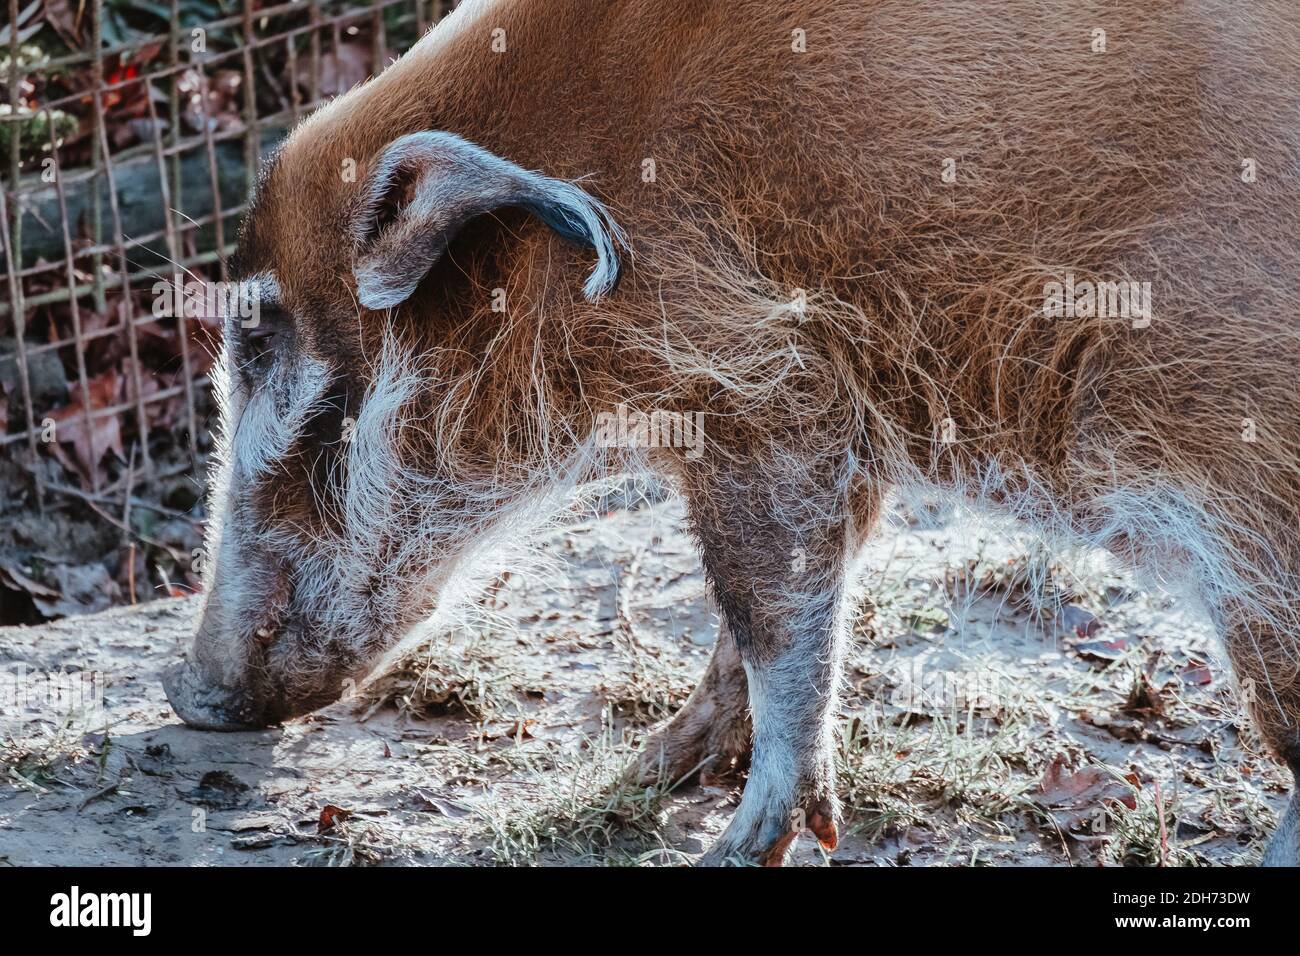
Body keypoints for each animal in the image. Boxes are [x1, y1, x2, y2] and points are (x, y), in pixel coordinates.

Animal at [165, 0, 1300, 866]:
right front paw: (646, 770)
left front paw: (737, 844)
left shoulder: (761, 400)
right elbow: (761, 611)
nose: (188, 693)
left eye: (259, 337)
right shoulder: (827, 421)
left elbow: (768, 611)